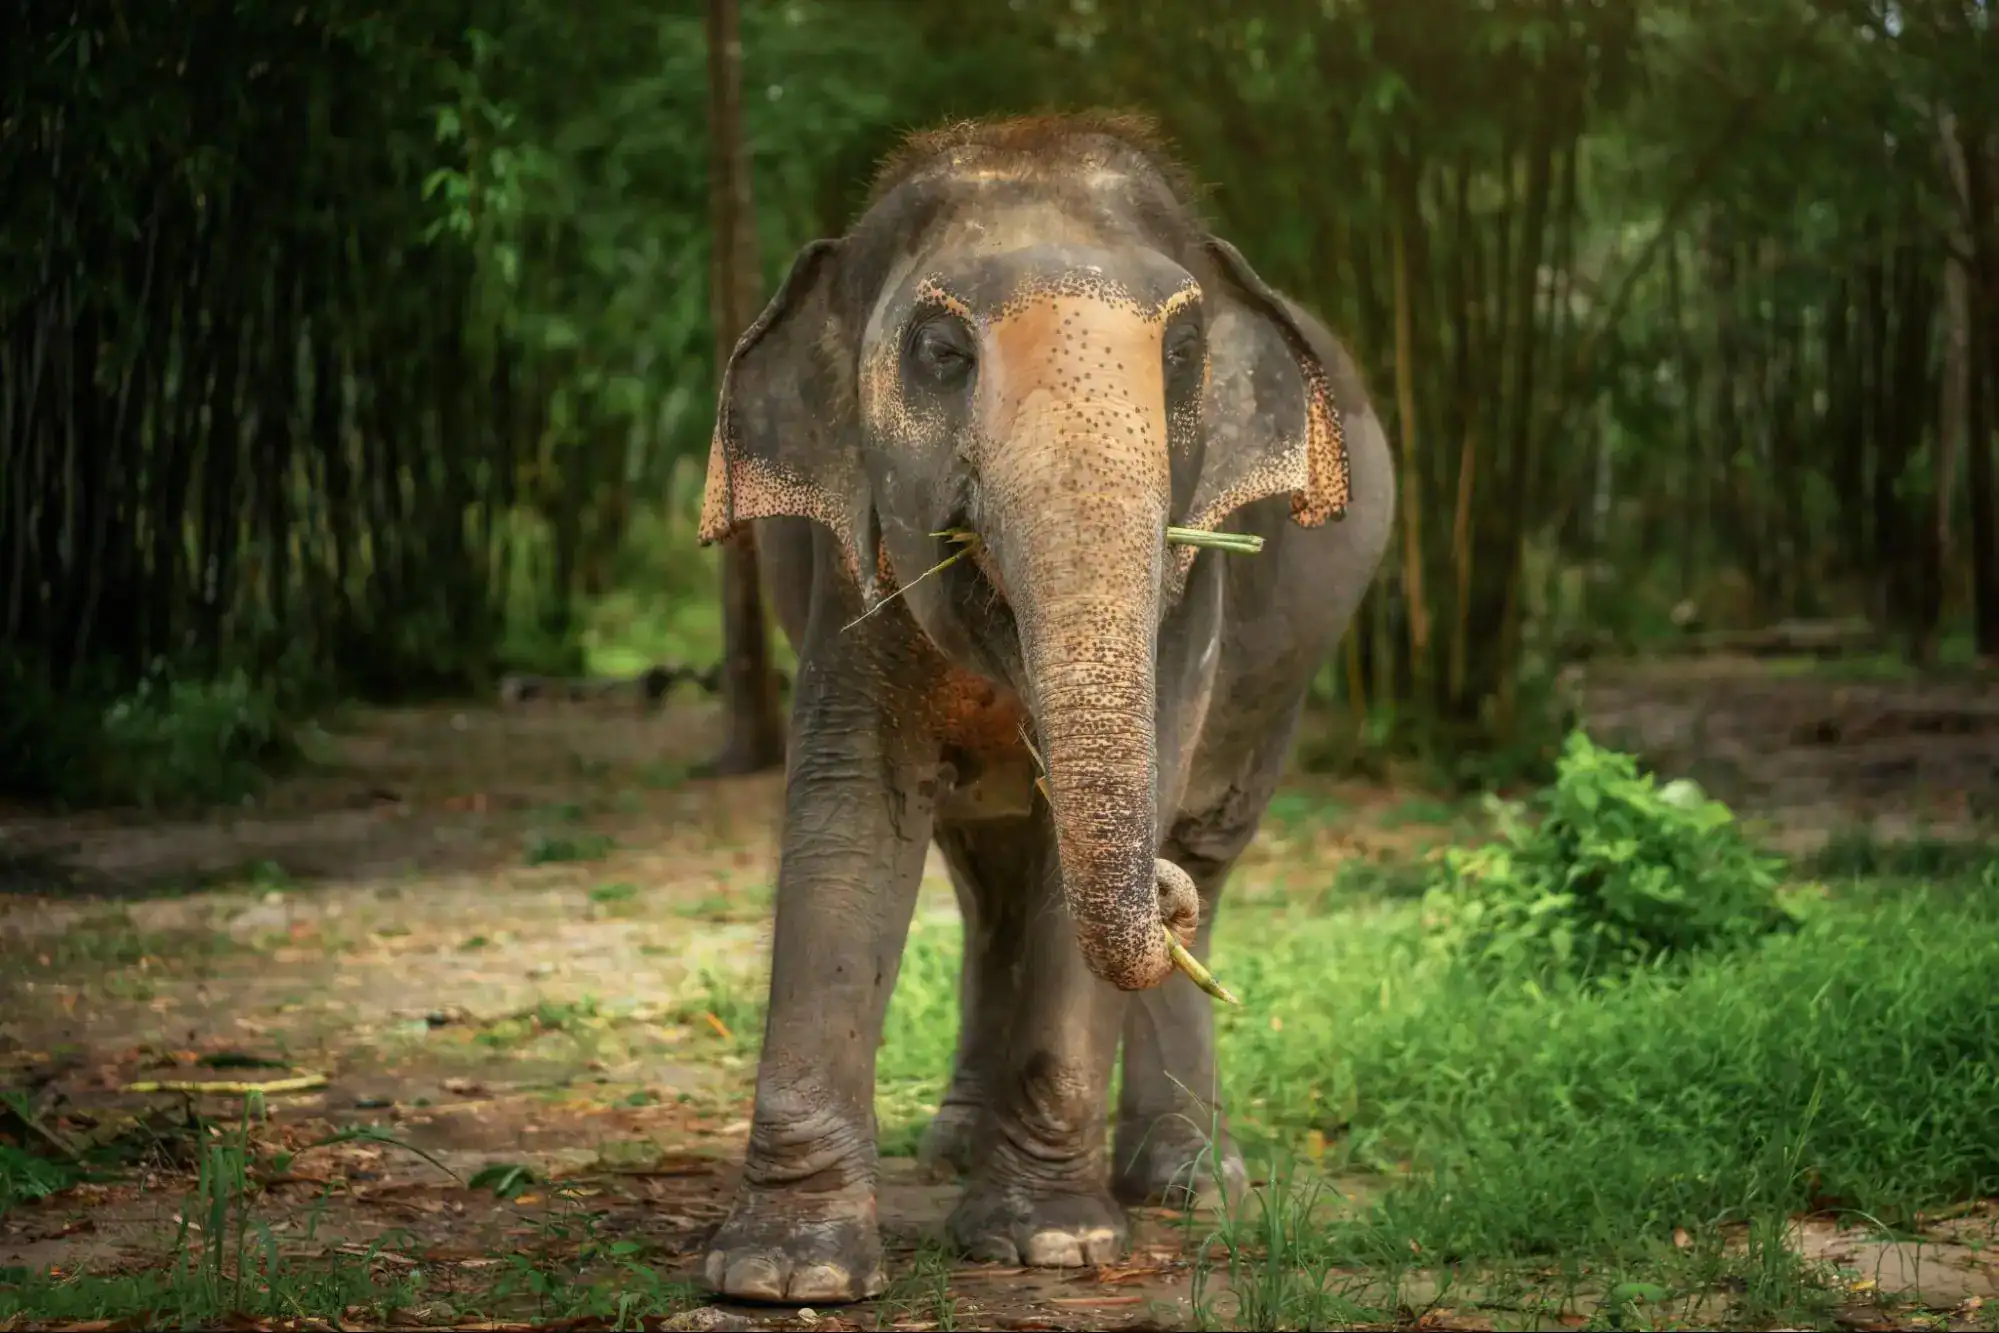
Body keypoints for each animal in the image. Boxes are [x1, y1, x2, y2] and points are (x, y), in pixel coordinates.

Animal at [693, 111, 1395, 1303]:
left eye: (1181, 354)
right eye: (940, 353)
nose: (1156, 890)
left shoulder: (1192, 578)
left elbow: (1141, 783)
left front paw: (1053, 1242)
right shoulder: (857, 558)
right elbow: (851, 804)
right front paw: (785, 1273)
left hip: (1285, 682)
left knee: (1197, 854)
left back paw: (1190, 1180)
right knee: (993, 881)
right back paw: (957, 1143)